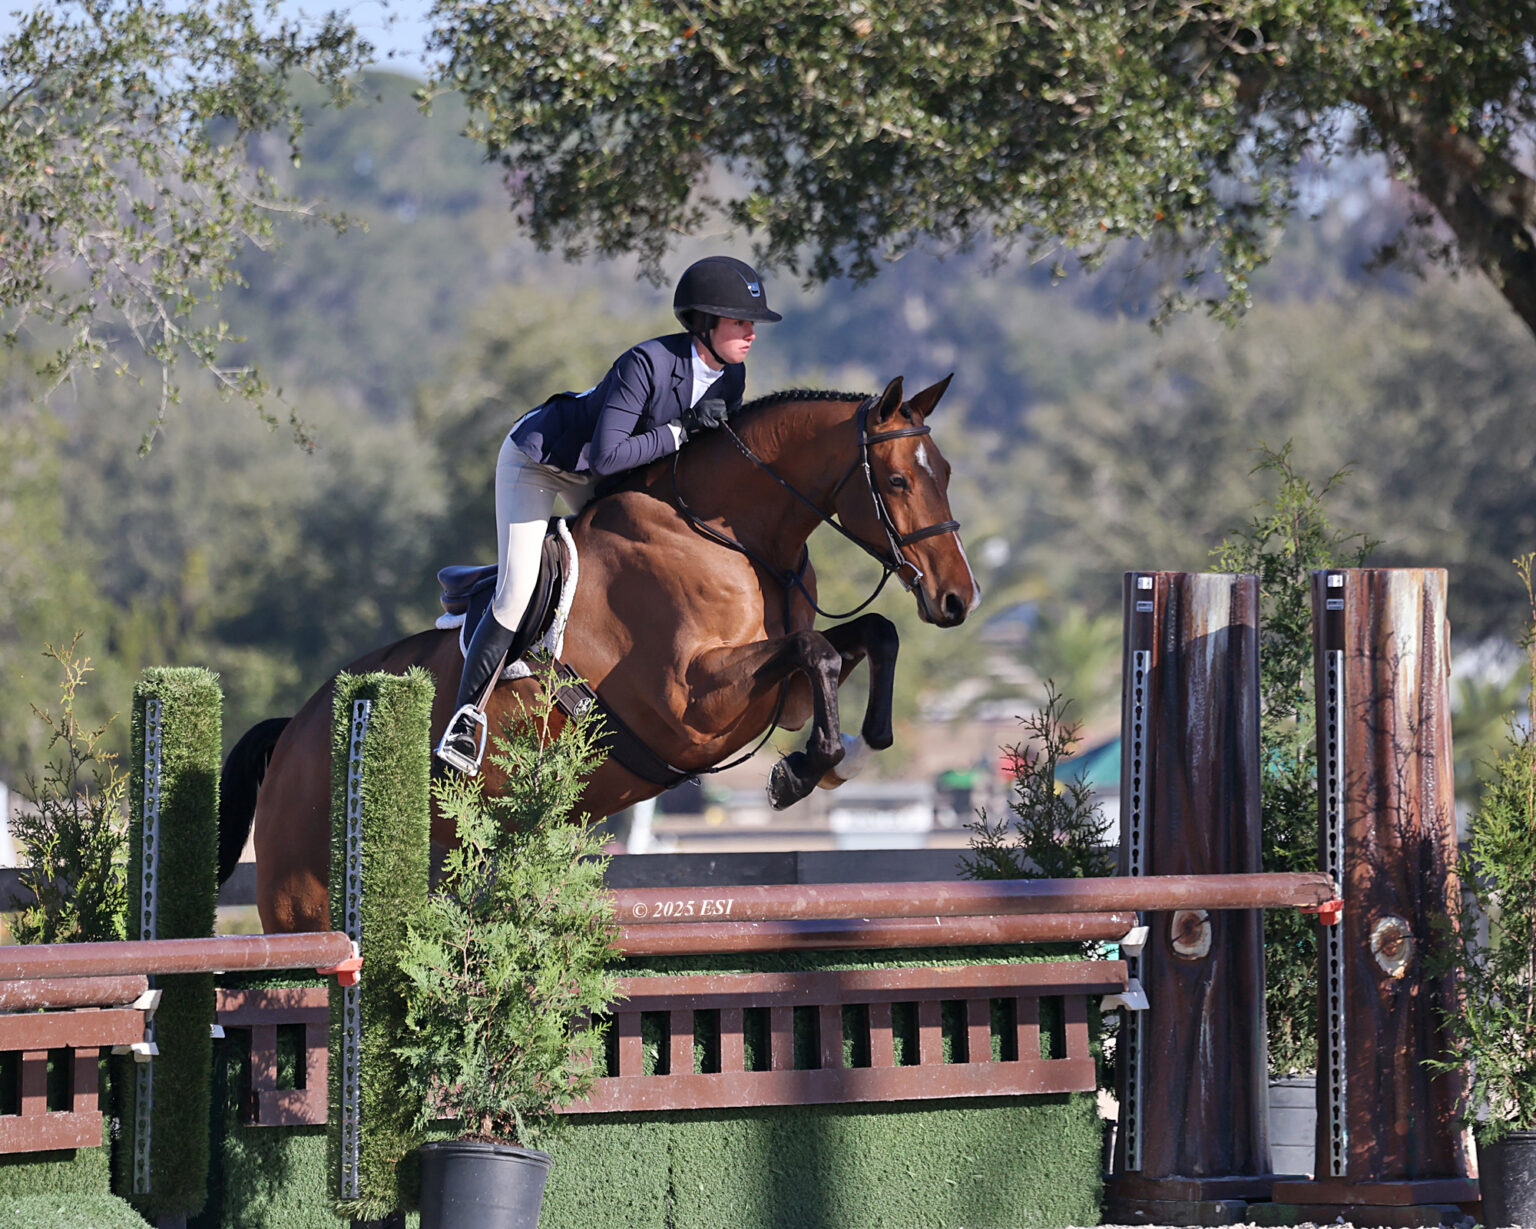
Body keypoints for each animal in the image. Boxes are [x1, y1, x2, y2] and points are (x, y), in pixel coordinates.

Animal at [222, 375, 980, 933]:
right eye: (899, 481)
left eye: (945, 471)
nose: (958, 599)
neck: (731, 536)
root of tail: (293, 732)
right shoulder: (691, 707)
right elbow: (814, 649)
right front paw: (800, 772)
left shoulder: (764, 684)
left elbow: (866, 636)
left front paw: (851, 750)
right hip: (303, 898)